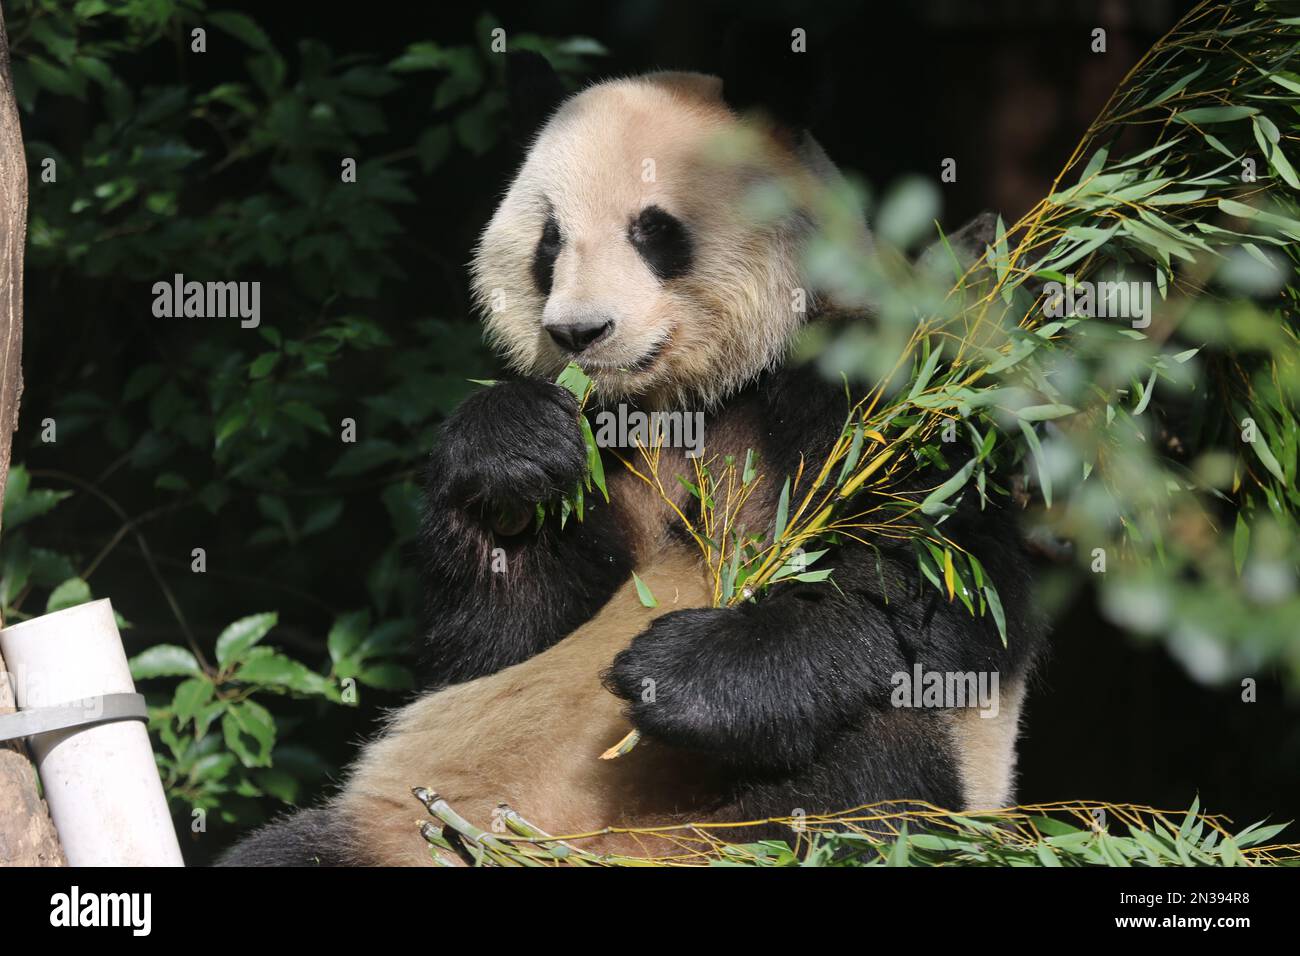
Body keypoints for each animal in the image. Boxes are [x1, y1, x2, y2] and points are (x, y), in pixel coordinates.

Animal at [220, 56, 1045, 866]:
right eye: (550, 242)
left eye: (654, 230)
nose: (580, 332)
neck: (677, 400)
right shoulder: (602, 459)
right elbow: (492, 640)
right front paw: (515, 449)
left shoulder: (874, 392)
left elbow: (940, 585)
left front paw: (681, 677)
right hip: (395, 827)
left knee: (872, 775)